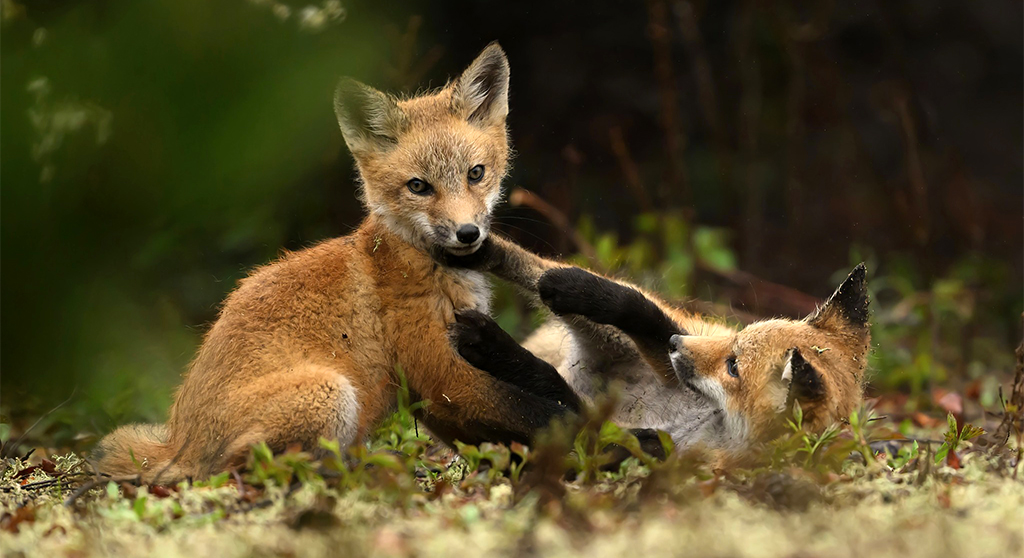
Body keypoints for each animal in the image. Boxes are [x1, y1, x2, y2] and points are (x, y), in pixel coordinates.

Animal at [93, 43, 582, 483]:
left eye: (475, 173)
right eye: (418, 186)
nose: (468, 234)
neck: (421, 261)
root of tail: (179, 443)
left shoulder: (434, 388)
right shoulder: (440, 370)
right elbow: (534, 409)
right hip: (330, 394)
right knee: (240, 472)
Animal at [442, 237, 870, 459]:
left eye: (734, 367)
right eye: (734, 344)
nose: (676, 345)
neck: (703, 421)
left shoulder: (652, 452)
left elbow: (565, 398)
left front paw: (497, 349)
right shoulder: (665, 363)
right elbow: (638, 308)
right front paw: (577, 288)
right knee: (527, 264)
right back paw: (480, 247)